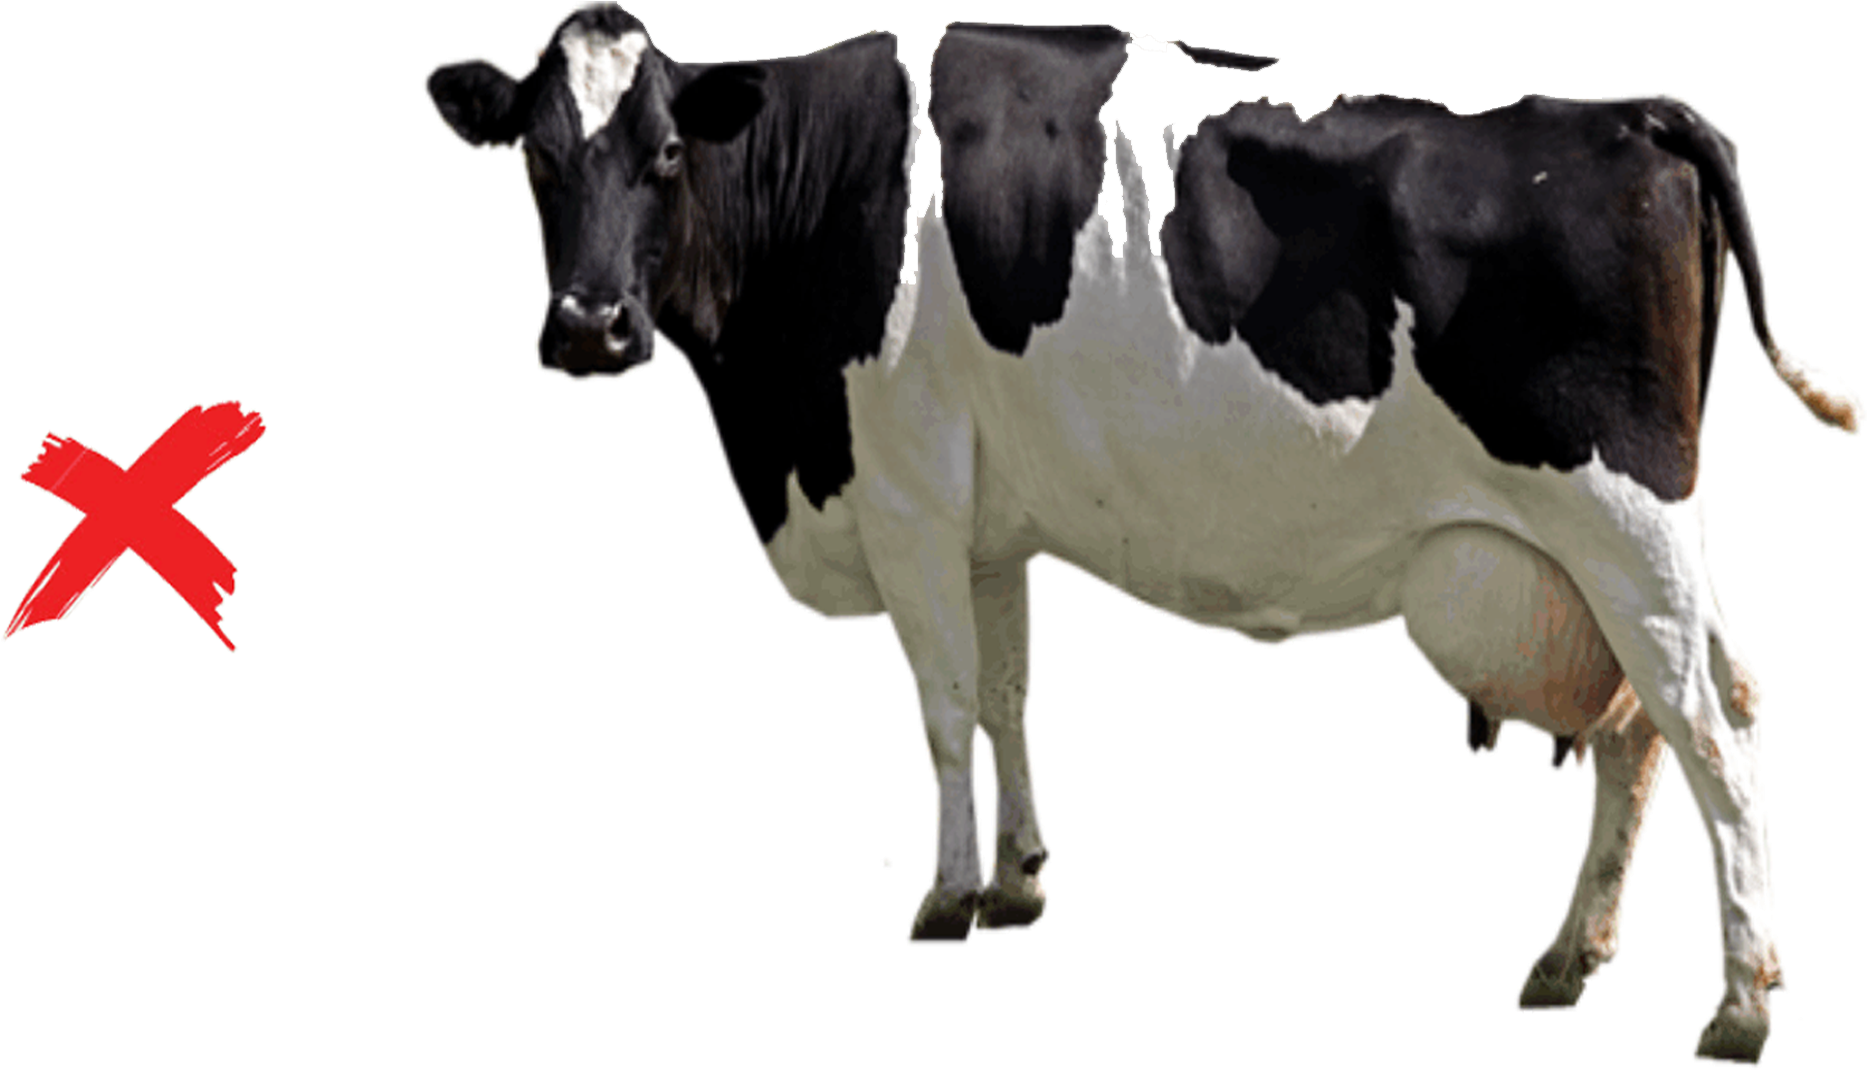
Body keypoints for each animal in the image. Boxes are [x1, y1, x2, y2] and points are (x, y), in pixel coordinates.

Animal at [424, 5, 1856, 1059]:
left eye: (665, 153)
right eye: (539, 157)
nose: (590, 326)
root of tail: (1631, 114)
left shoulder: (908, 495)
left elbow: (944, 705)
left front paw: (945, 894)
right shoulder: (987, 524)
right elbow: (1008, 689)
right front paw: (1017, 881)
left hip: (1623, 517)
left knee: (1709, 716)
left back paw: (1738, 1003)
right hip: (1588, 550)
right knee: (1637, 731)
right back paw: (1569, 958)